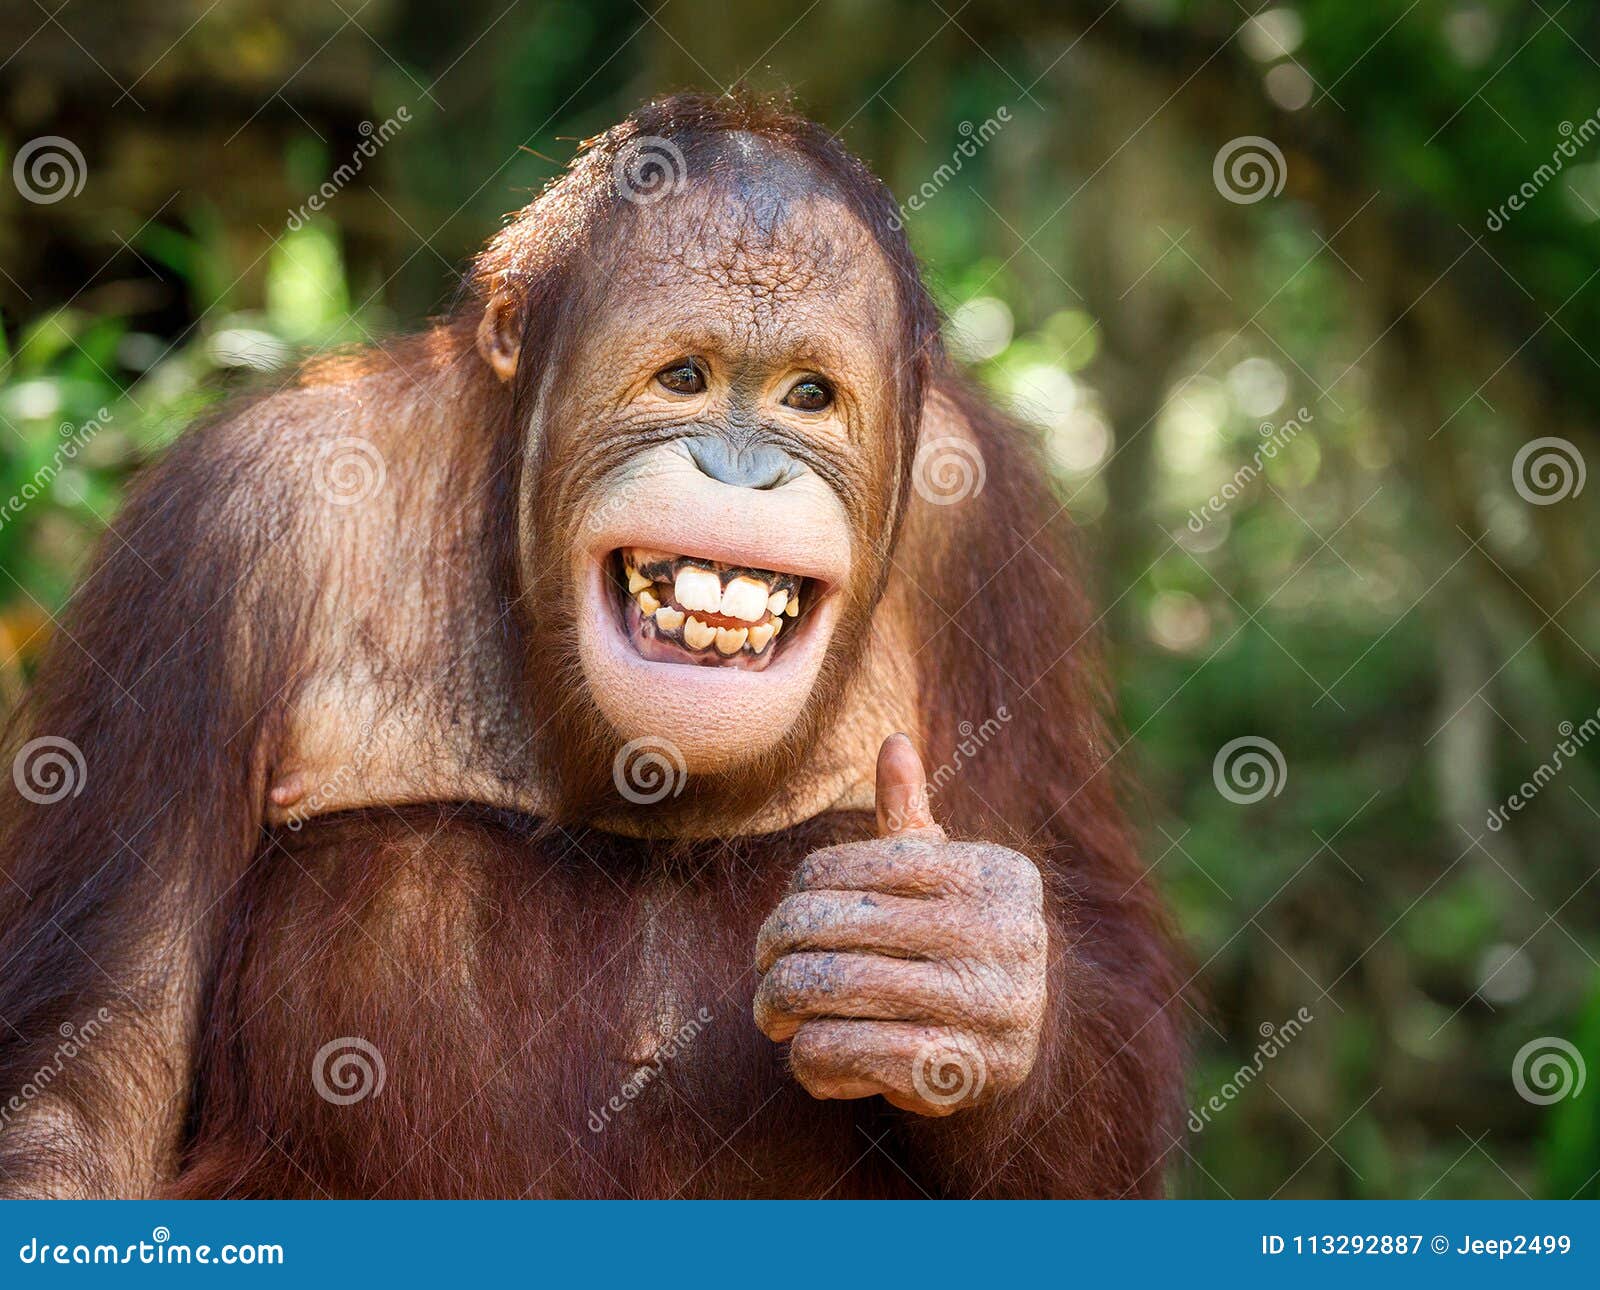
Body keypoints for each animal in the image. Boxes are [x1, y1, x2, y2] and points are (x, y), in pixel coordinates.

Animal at [0, 92, 1186, 1198]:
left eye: (808, 395)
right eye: (684, 378)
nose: (744, 471)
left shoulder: (986, 530)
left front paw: (949, 970)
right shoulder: (219, 531)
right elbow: (93, 1074)